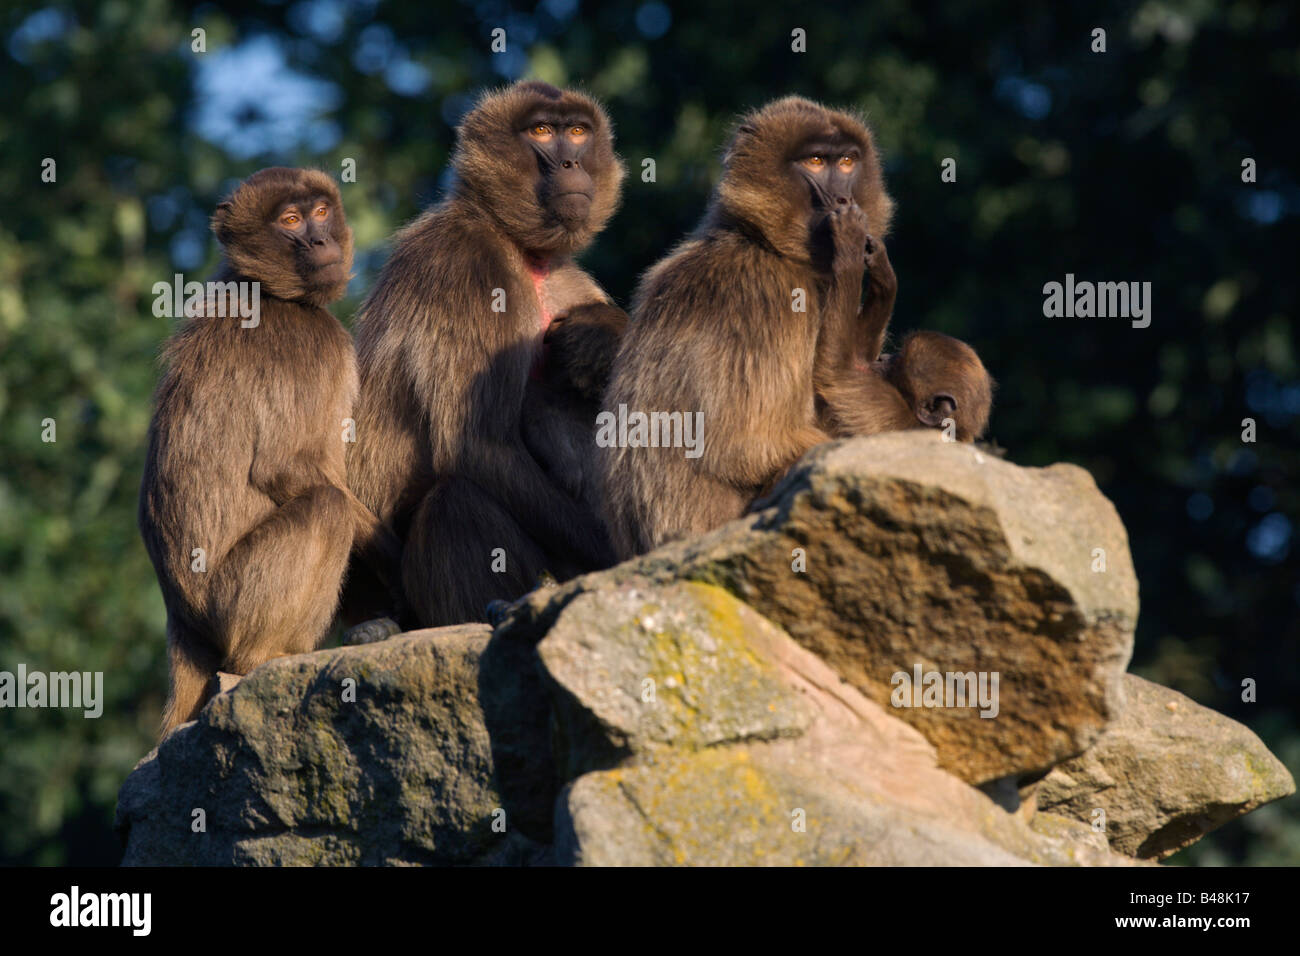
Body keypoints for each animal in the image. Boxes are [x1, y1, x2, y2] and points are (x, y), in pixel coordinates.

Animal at [138, 167, 399, 736]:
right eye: (290, 220)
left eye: (320, 211)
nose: (320, 241)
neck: (264, 288)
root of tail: (183, 624)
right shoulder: (312, 341)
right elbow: (288, 468)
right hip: (233, 603)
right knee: (327, 507)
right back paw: (266, 658)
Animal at [346, 81, 628, 628]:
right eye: (540, 130)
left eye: (576, 132)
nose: (570, 164)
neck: (518, 246)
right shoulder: (466, 266)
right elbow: (475, 445)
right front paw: (616, 555)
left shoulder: (570, 281)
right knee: (455, 502)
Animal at [599, 96, 992, 559]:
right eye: (816, 161)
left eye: (846, 161)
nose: (843, 197)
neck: (760, 241)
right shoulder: (769, 297)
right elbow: (749, 445)